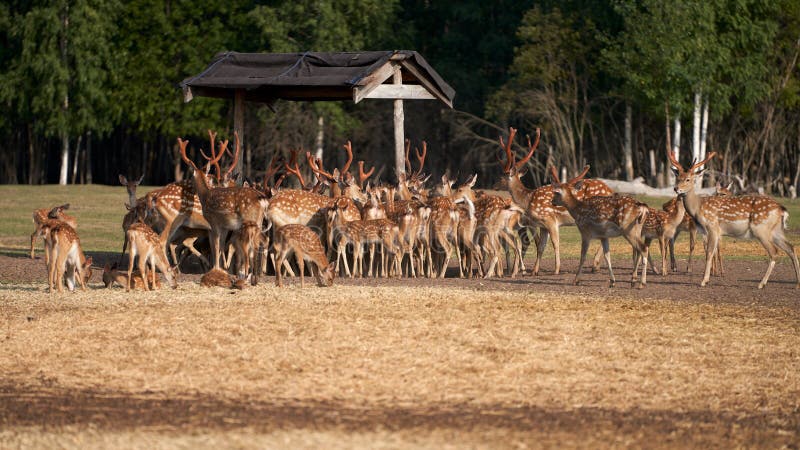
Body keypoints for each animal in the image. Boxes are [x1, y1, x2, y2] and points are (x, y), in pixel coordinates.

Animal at [668, 151, 799, 288]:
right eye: (677, 178)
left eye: (688, 179)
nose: (676, 188)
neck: (698, 208)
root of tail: (782, 209)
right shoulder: (706, 231)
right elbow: (710, 252)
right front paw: (708, 277)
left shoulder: (713, 226)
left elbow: (709, 253)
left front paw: (704, 280)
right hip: (776, 230)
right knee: (791, 248)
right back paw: (797, 284)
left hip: (761, 229)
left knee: (774, 252)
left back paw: (761, 283)